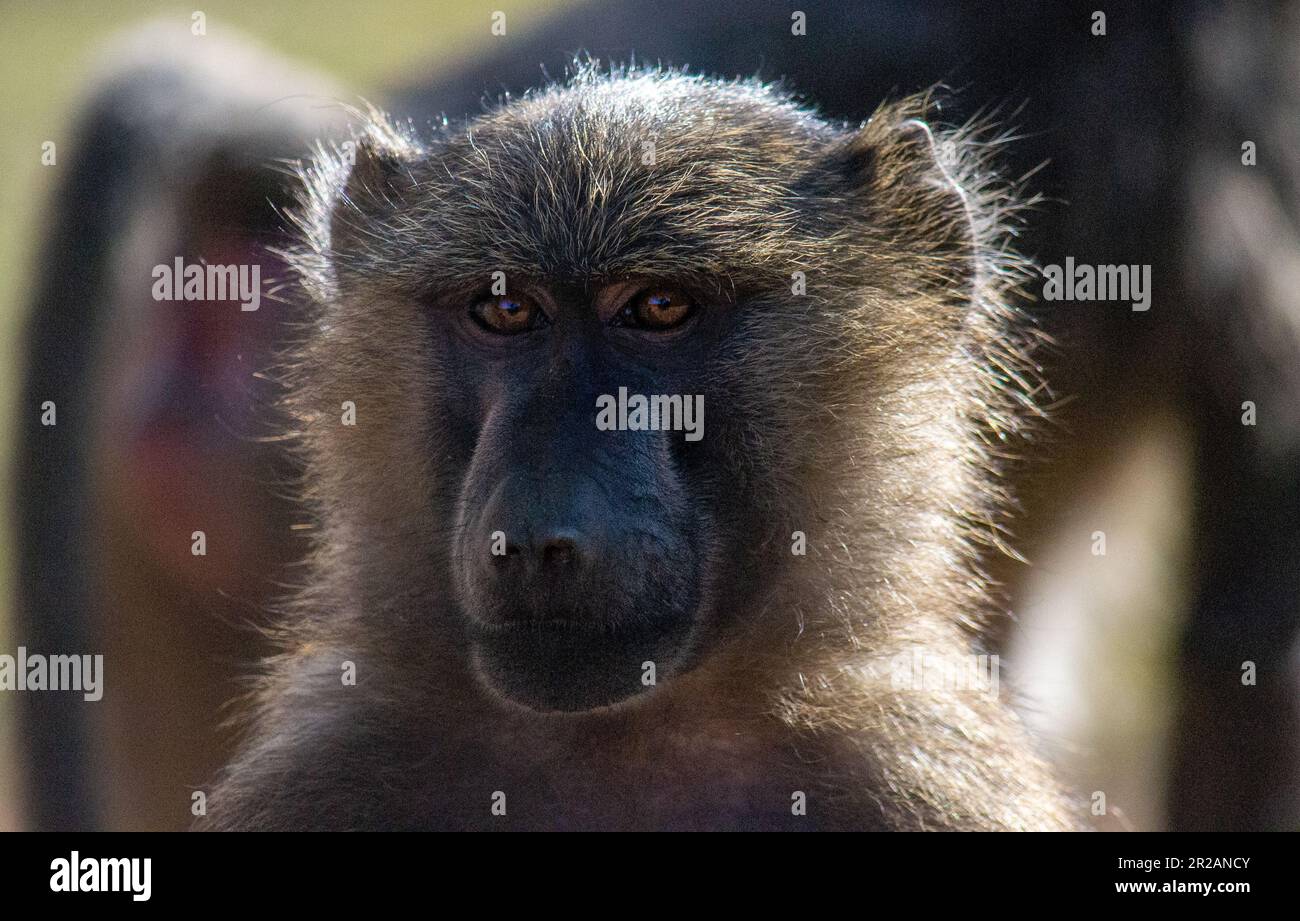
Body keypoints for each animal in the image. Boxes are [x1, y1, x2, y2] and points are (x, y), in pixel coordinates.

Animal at [198, 65, 1079, 831]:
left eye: (658, 307)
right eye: (506, 309)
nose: (533, 539)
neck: (624, 739)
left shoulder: (918, 767)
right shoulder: (325, 762)